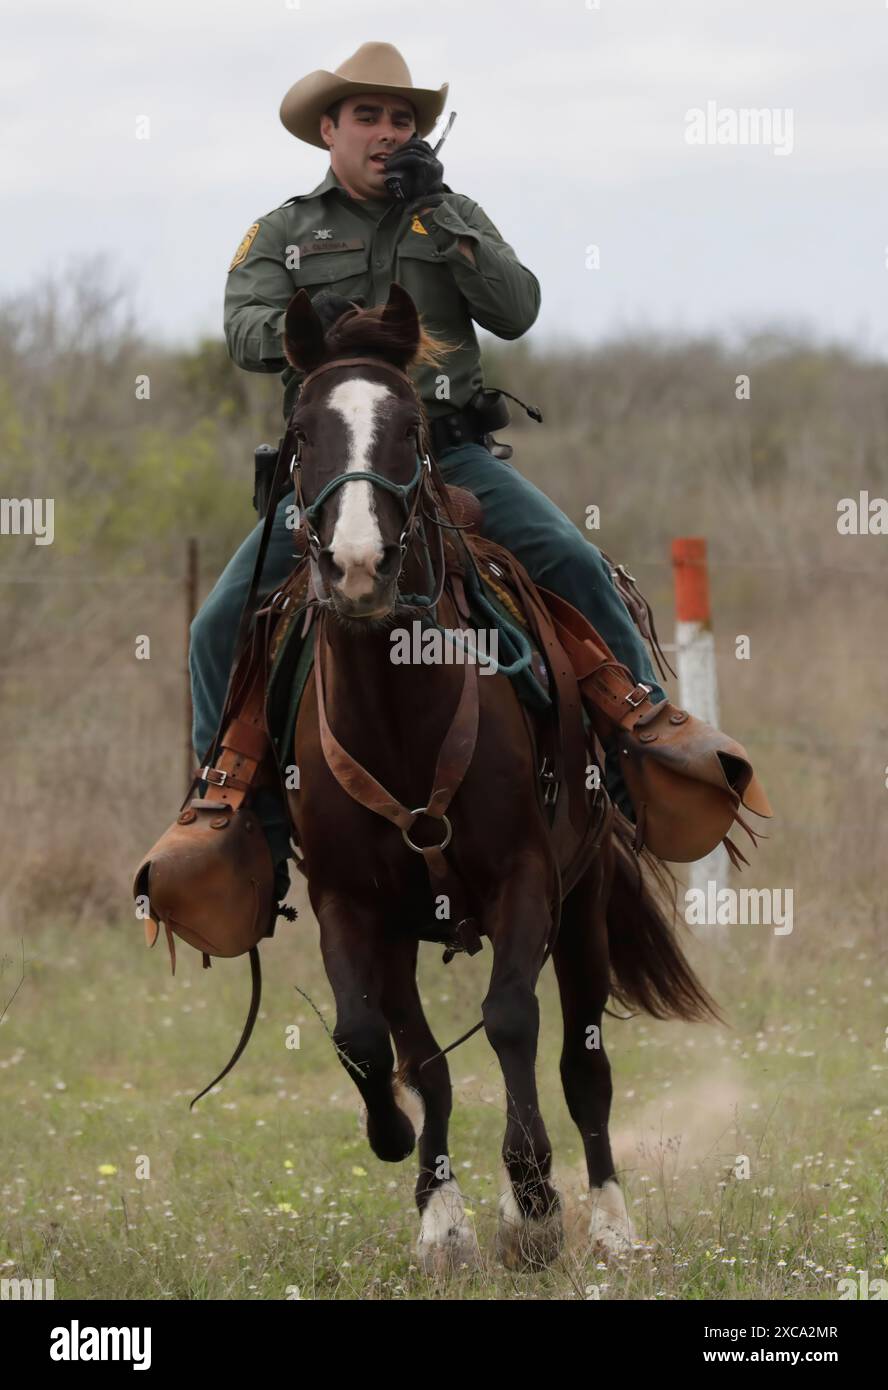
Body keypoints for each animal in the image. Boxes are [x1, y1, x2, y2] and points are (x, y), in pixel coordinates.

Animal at [281, 281, 719, 1272]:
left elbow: (515, 1021)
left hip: (585, 902)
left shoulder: (526, 877)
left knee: (583, 1067)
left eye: (409, 425)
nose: (358, 566)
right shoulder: (351, 904)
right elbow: (379, 1045)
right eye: (301, 428)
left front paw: (535, 1202)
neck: (400, 715)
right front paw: (425, 1193)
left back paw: (607, 1223)